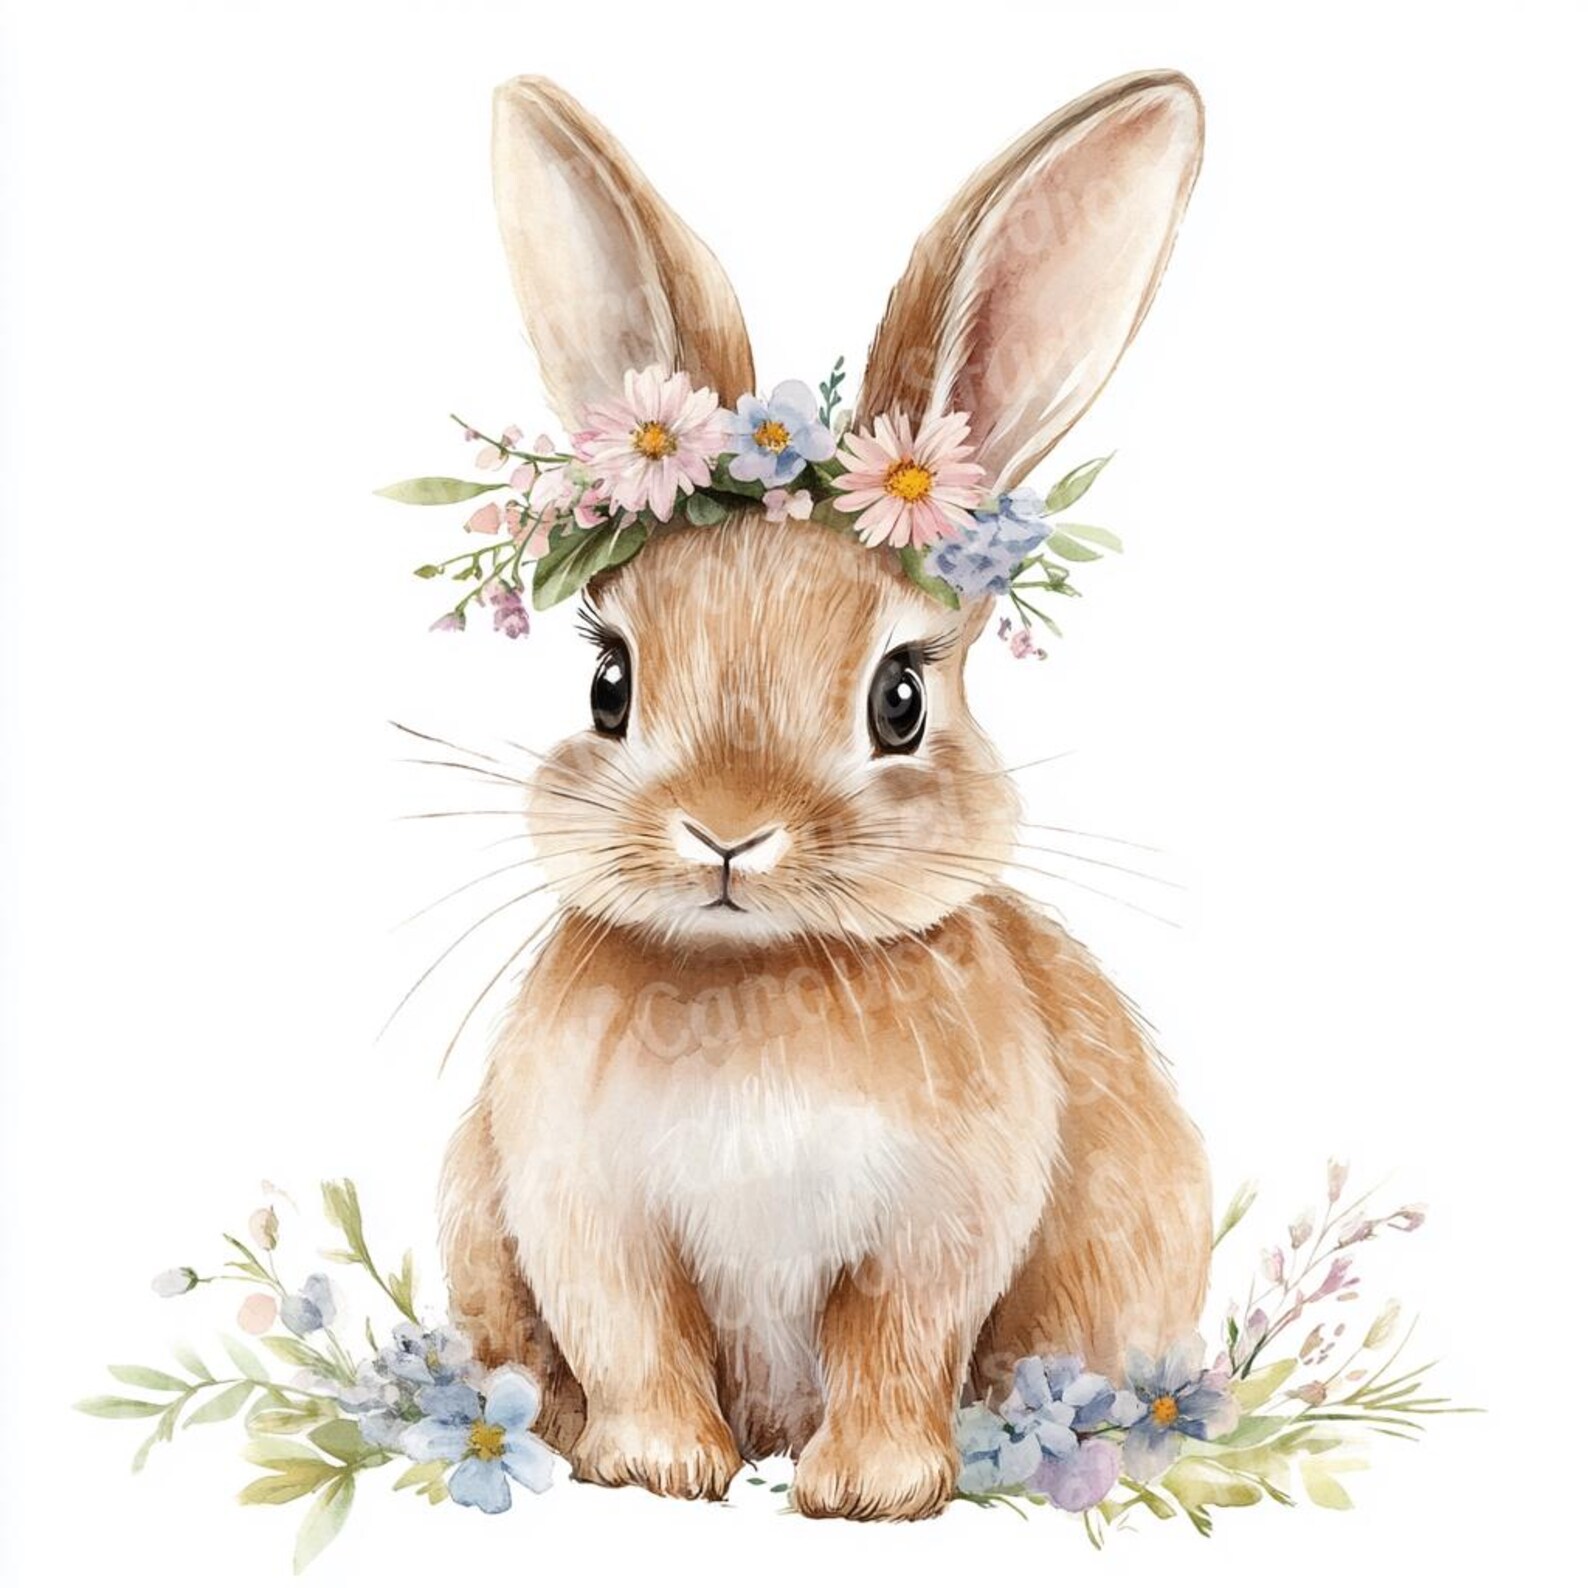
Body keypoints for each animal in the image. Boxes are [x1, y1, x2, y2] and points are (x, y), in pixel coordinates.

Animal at [439, 70, 1209, 1522]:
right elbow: (636, 1340)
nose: (728, 830)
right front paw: (661, 1467)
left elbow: (894, 1347)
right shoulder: (586, 1218)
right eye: (610, 683)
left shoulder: (933, 1233)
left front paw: (868, 1491)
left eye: (899, 700)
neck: (759, 974)